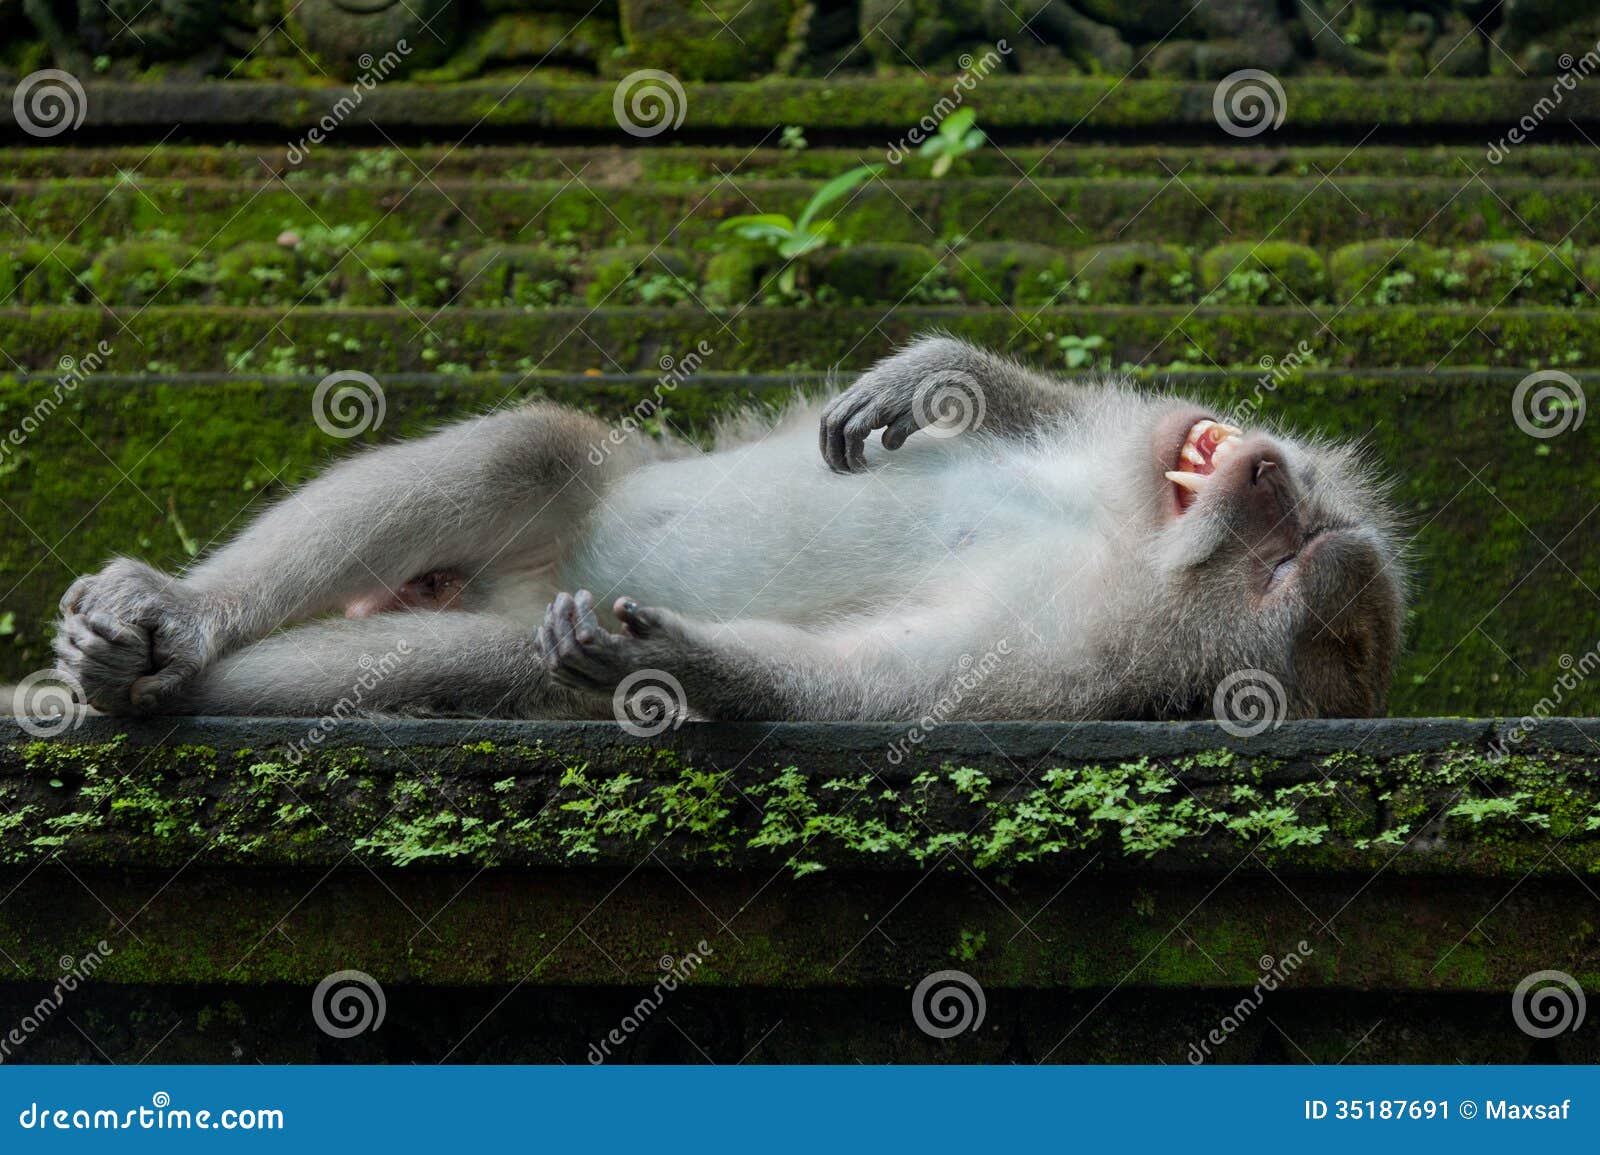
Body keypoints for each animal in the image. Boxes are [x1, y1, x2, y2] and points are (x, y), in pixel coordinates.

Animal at [51, 336, 1407, 725]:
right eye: (1303, 509)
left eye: (1291, 552)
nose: (1267, 470)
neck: (1129, 554)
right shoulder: (1106, 451)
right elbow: (1045, 405)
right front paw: (934, 375)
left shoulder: (1073, 671)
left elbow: (859, 691)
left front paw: (682, 663)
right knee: (525, 452)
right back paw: (170, 618)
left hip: (503, 622)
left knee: (481, 649)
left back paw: (154, 675)